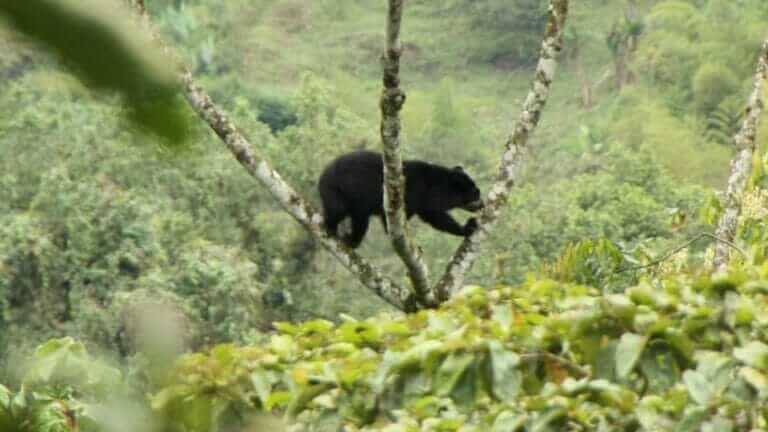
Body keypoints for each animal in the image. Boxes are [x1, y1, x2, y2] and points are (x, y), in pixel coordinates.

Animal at [318, 150, 484, 248]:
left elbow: (436, 218)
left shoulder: (424, 203)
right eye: (476, 193)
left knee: (360, 221)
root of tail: (323, 174)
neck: (433, 187)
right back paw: (330, 227)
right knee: (337, 209)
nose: (482, 205)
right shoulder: (413, 193)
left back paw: (352, 241)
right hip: (337, 189)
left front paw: (468, 227)